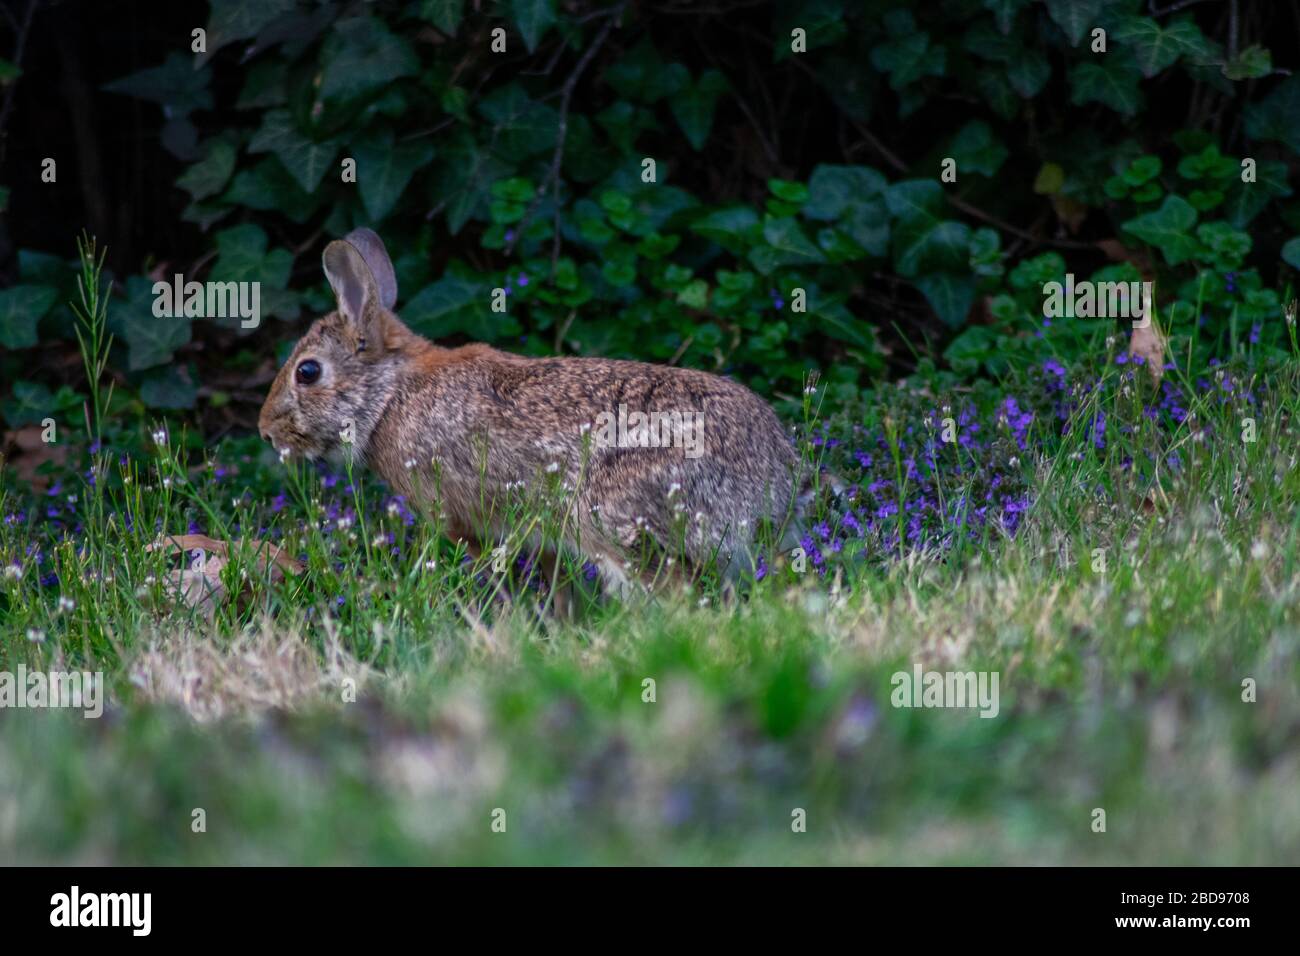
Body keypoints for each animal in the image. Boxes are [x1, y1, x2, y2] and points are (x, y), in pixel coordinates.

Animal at [258, 228, 811, 597]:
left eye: (308, 372)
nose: (265, 431)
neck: (391, 393)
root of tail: (770, 481)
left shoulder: (455, 514)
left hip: (614, 517)